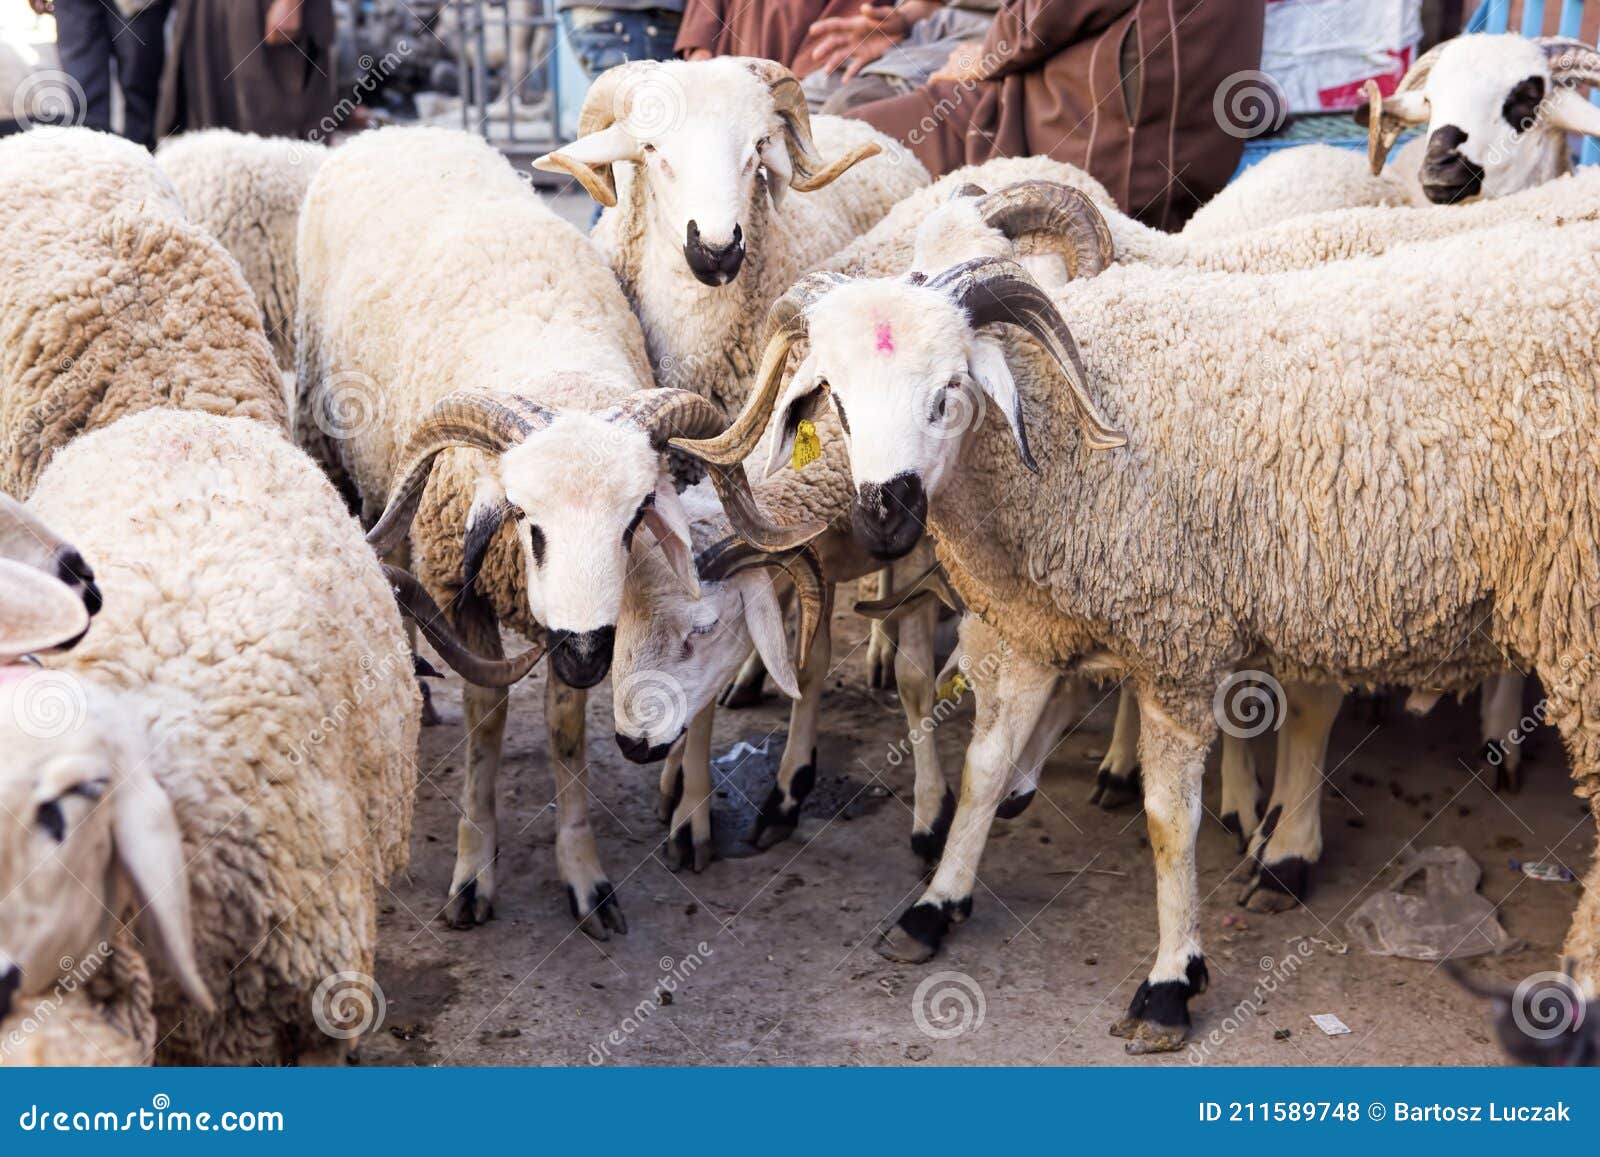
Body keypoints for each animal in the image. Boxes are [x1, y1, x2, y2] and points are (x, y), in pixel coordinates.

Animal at [296, 126, 805, 935]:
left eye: (635, 518)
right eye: (526, 522)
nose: (591, 651)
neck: (560, 372)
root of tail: (397, 128)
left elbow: (566, 730)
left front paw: (585, 875)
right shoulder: (460, 590)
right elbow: (487, 723)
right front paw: (473, 871)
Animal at [679, 215, 1600, 1052]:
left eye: (947, 389)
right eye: (834, 396)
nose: (885, 511)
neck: (1058, 437)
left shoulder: (1176, 641)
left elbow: (1167, 819)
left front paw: (1170, 982)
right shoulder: (1035, 629)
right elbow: (983, 769)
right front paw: (935, 905)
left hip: (1575, 617)